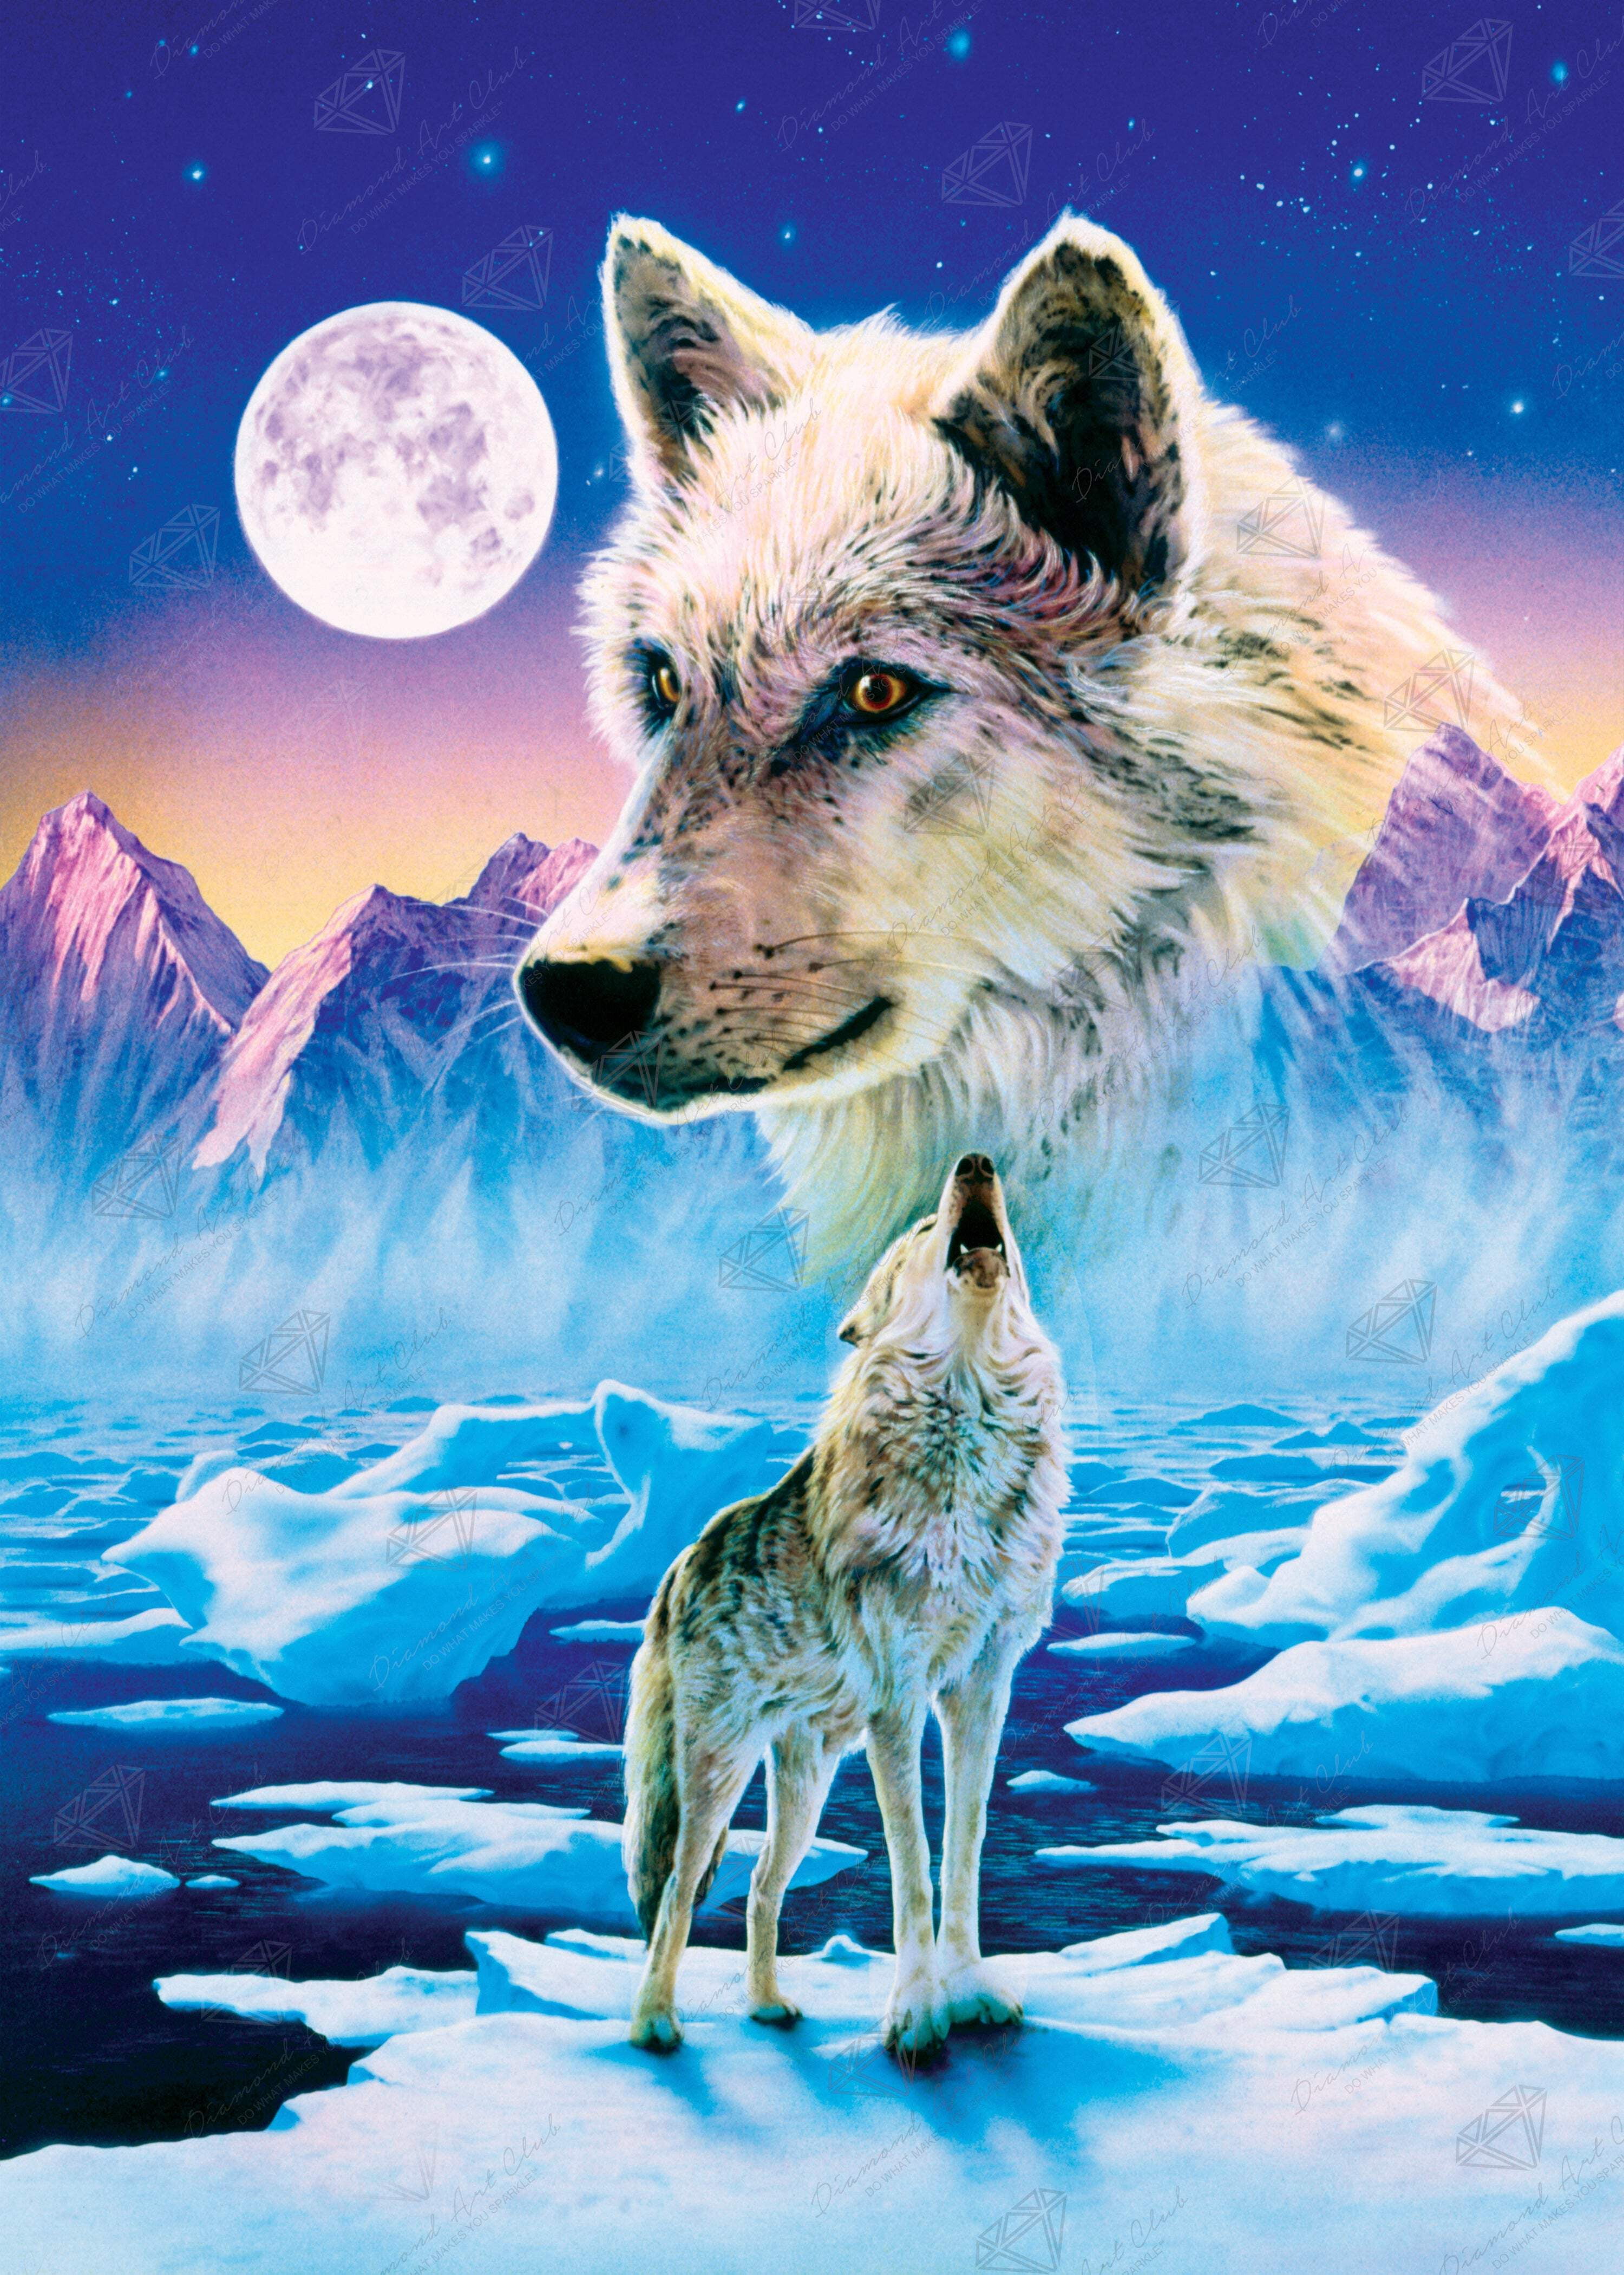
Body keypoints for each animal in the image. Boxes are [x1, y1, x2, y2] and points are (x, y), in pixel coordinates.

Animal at [620, 1153, 1067, 2056]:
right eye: (924, 1230)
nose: (976, 1161)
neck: (967, 1427)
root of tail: (682, 1561)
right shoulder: (900, 1701)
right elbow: (914, 1867)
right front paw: (920, 2013)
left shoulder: (982, 1689)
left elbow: (963, 1851)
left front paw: (972, 1990)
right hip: (715, 1771)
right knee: (678, 1892)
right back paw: (654, 2021)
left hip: (808, 1777)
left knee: (761, 1881)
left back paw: (766, 2005)